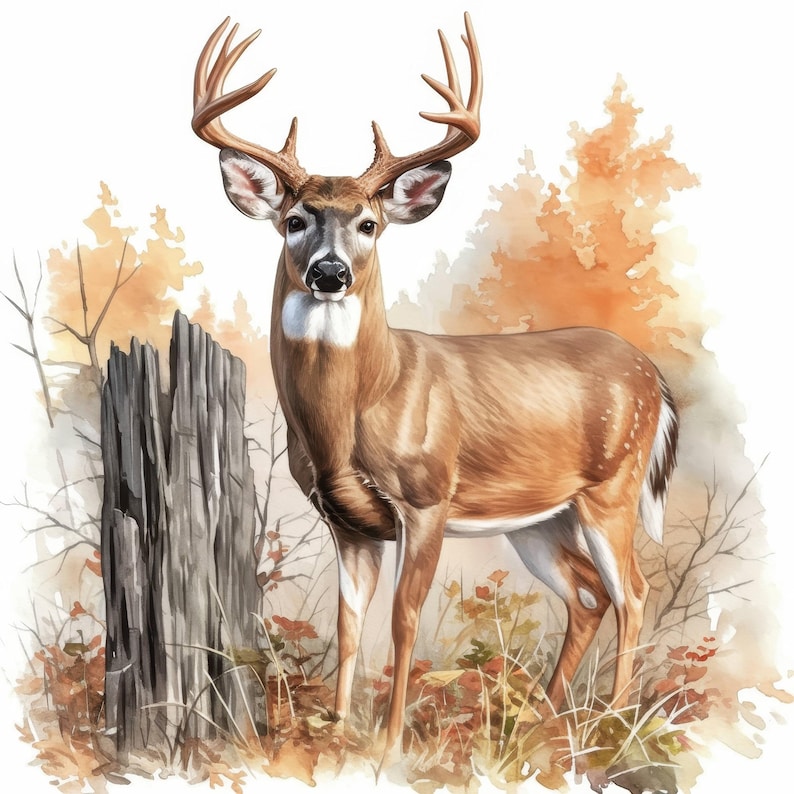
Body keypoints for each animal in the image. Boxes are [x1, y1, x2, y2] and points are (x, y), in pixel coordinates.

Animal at [192, 13, 678, 768]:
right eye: (296, 220)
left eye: (369, 224)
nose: (330, 272)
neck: (358, 410)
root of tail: (654, 376)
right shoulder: (346, 522)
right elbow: (350, 622)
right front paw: (338, 732)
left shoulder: (426, 497)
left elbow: (404, 617)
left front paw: (389, 744)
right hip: (540, 518)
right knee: (589, 595)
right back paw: (543, 725)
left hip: (613, 486)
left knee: (633, 589)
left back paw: (609, 729)